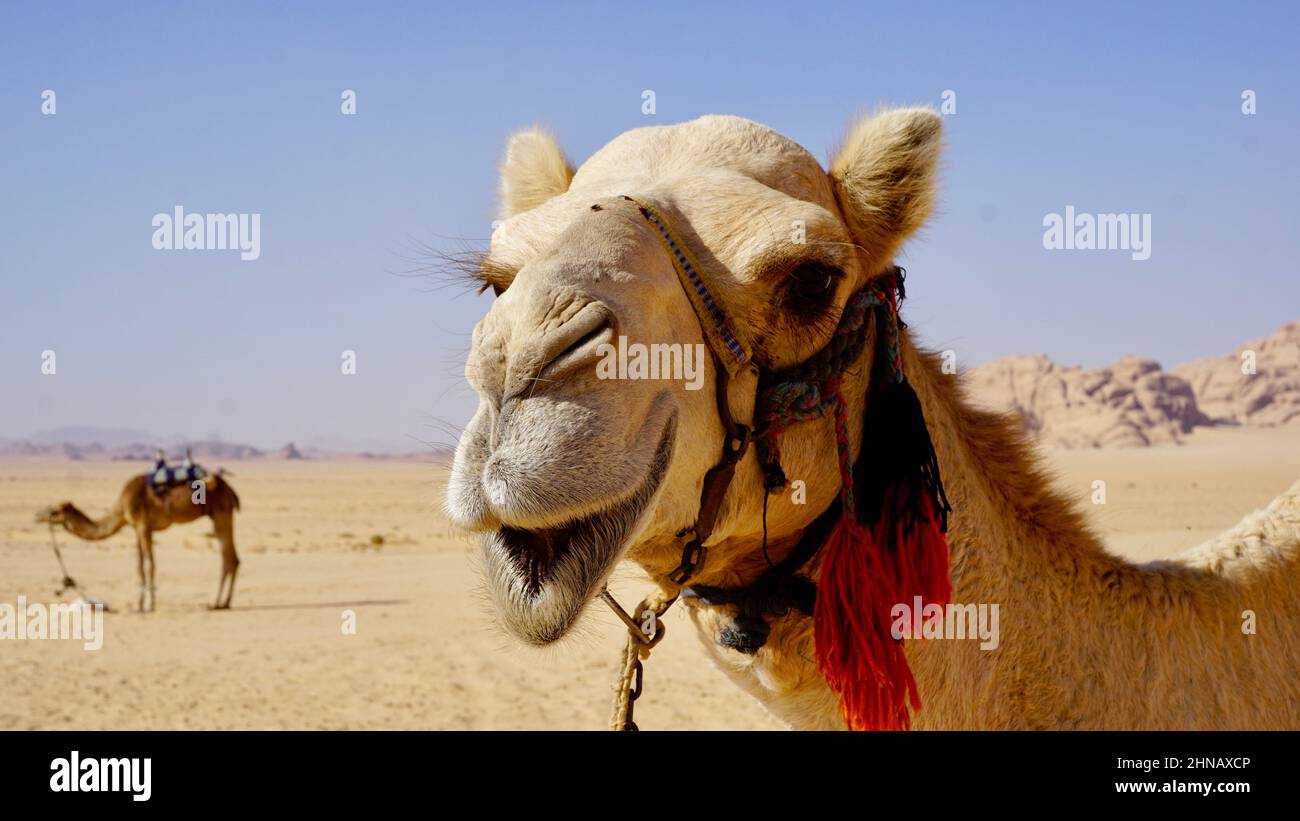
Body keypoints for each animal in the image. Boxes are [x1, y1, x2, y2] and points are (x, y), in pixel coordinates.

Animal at [37, 472, 242, 612]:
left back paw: (216, 603)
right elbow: (139, 564)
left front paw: (149, 605)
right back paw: (224, 602)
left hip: (221, 514)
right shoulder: (137, 528)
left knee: (227, 558)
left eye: (55, 511)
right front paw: (139, 604)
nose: (37, 515)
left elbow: (150, 563)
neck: (121, 508)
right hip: (220, 515)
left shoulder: (143, 526)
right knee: (233, 558)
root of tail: (230, 490)